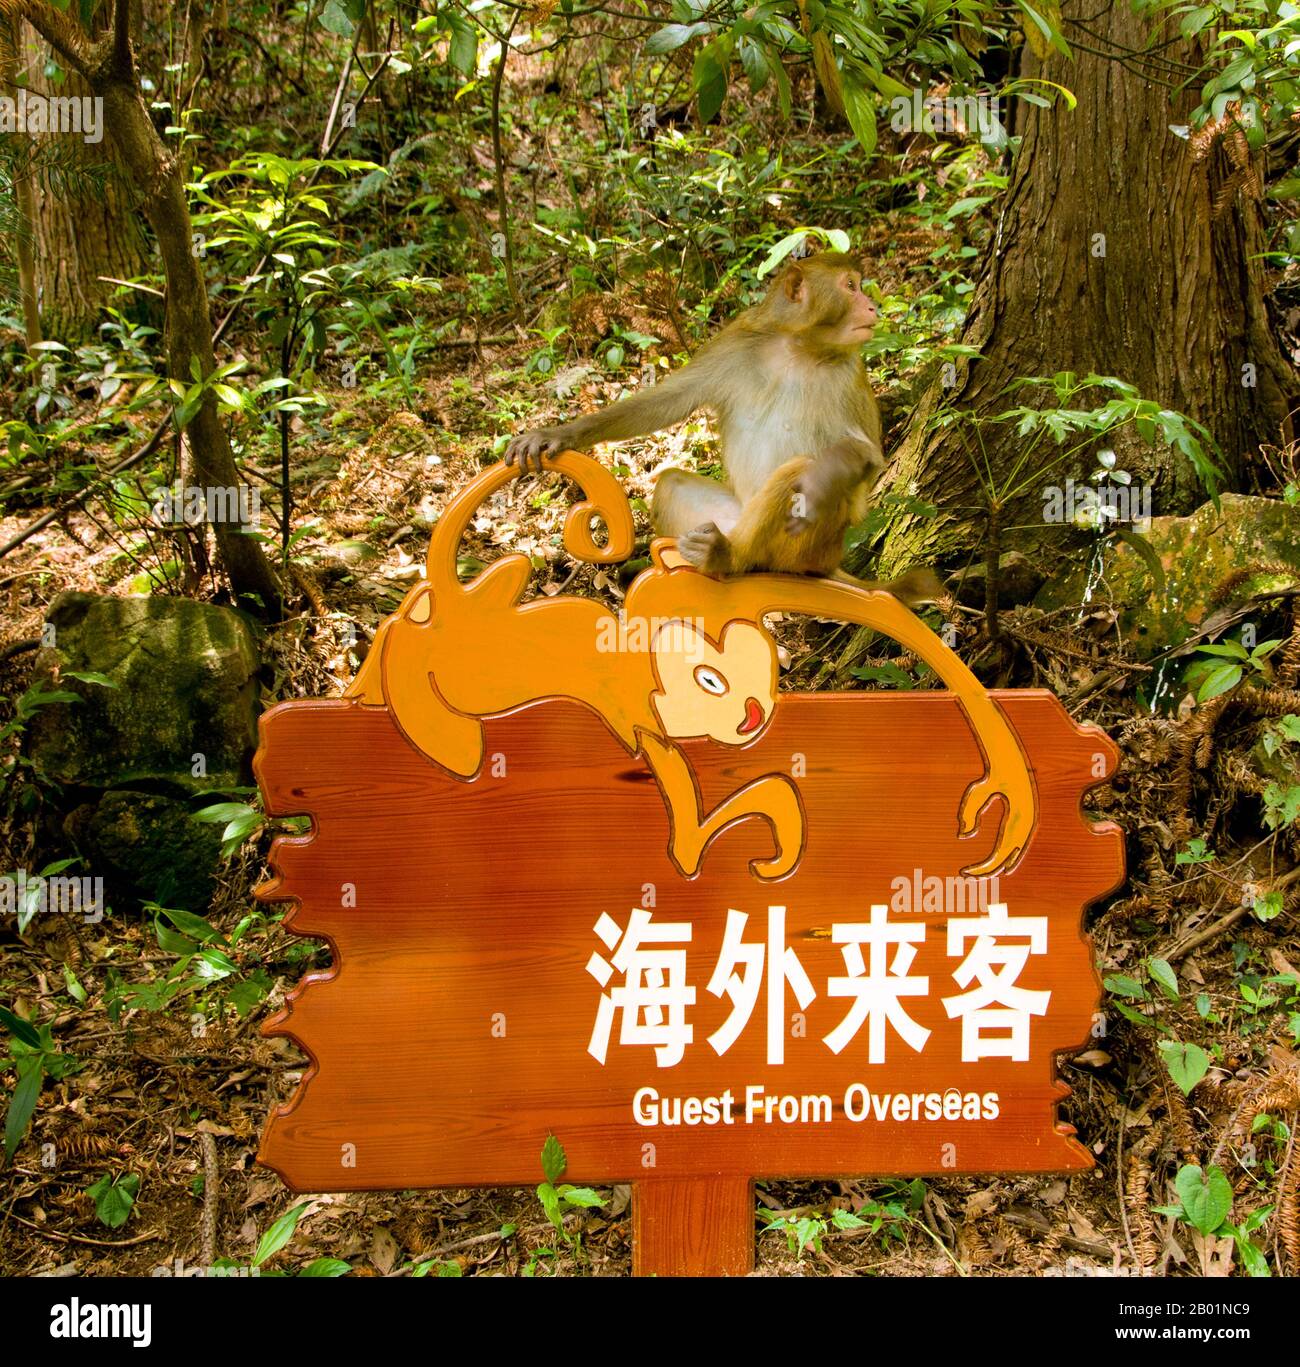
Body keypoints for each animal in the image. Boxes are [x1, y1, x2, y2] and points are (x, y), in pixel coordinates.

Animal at [347, 451, 1035, 878]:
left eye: (761, 671)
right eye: (710, 679)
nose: (755, 711)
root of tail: (456, 605)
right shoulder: (642, 721)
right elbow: (688, 841)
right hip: (454, 660)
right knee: (413, 642)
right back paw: (423, 720)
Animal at [505, 250, 940, 605]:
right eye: (850, 286)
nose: (871, 305)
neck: (798, 348)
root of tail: (828, 562)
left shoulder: (849, 375)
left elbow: (866, 457)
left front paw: (821, 478)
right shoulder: (736, 343)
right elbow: (667, 402)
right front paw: (559, 434)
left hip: (806, 550)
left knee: (796, 477)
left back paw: (729, 557)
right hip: (730, 517)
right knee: (673, 484)